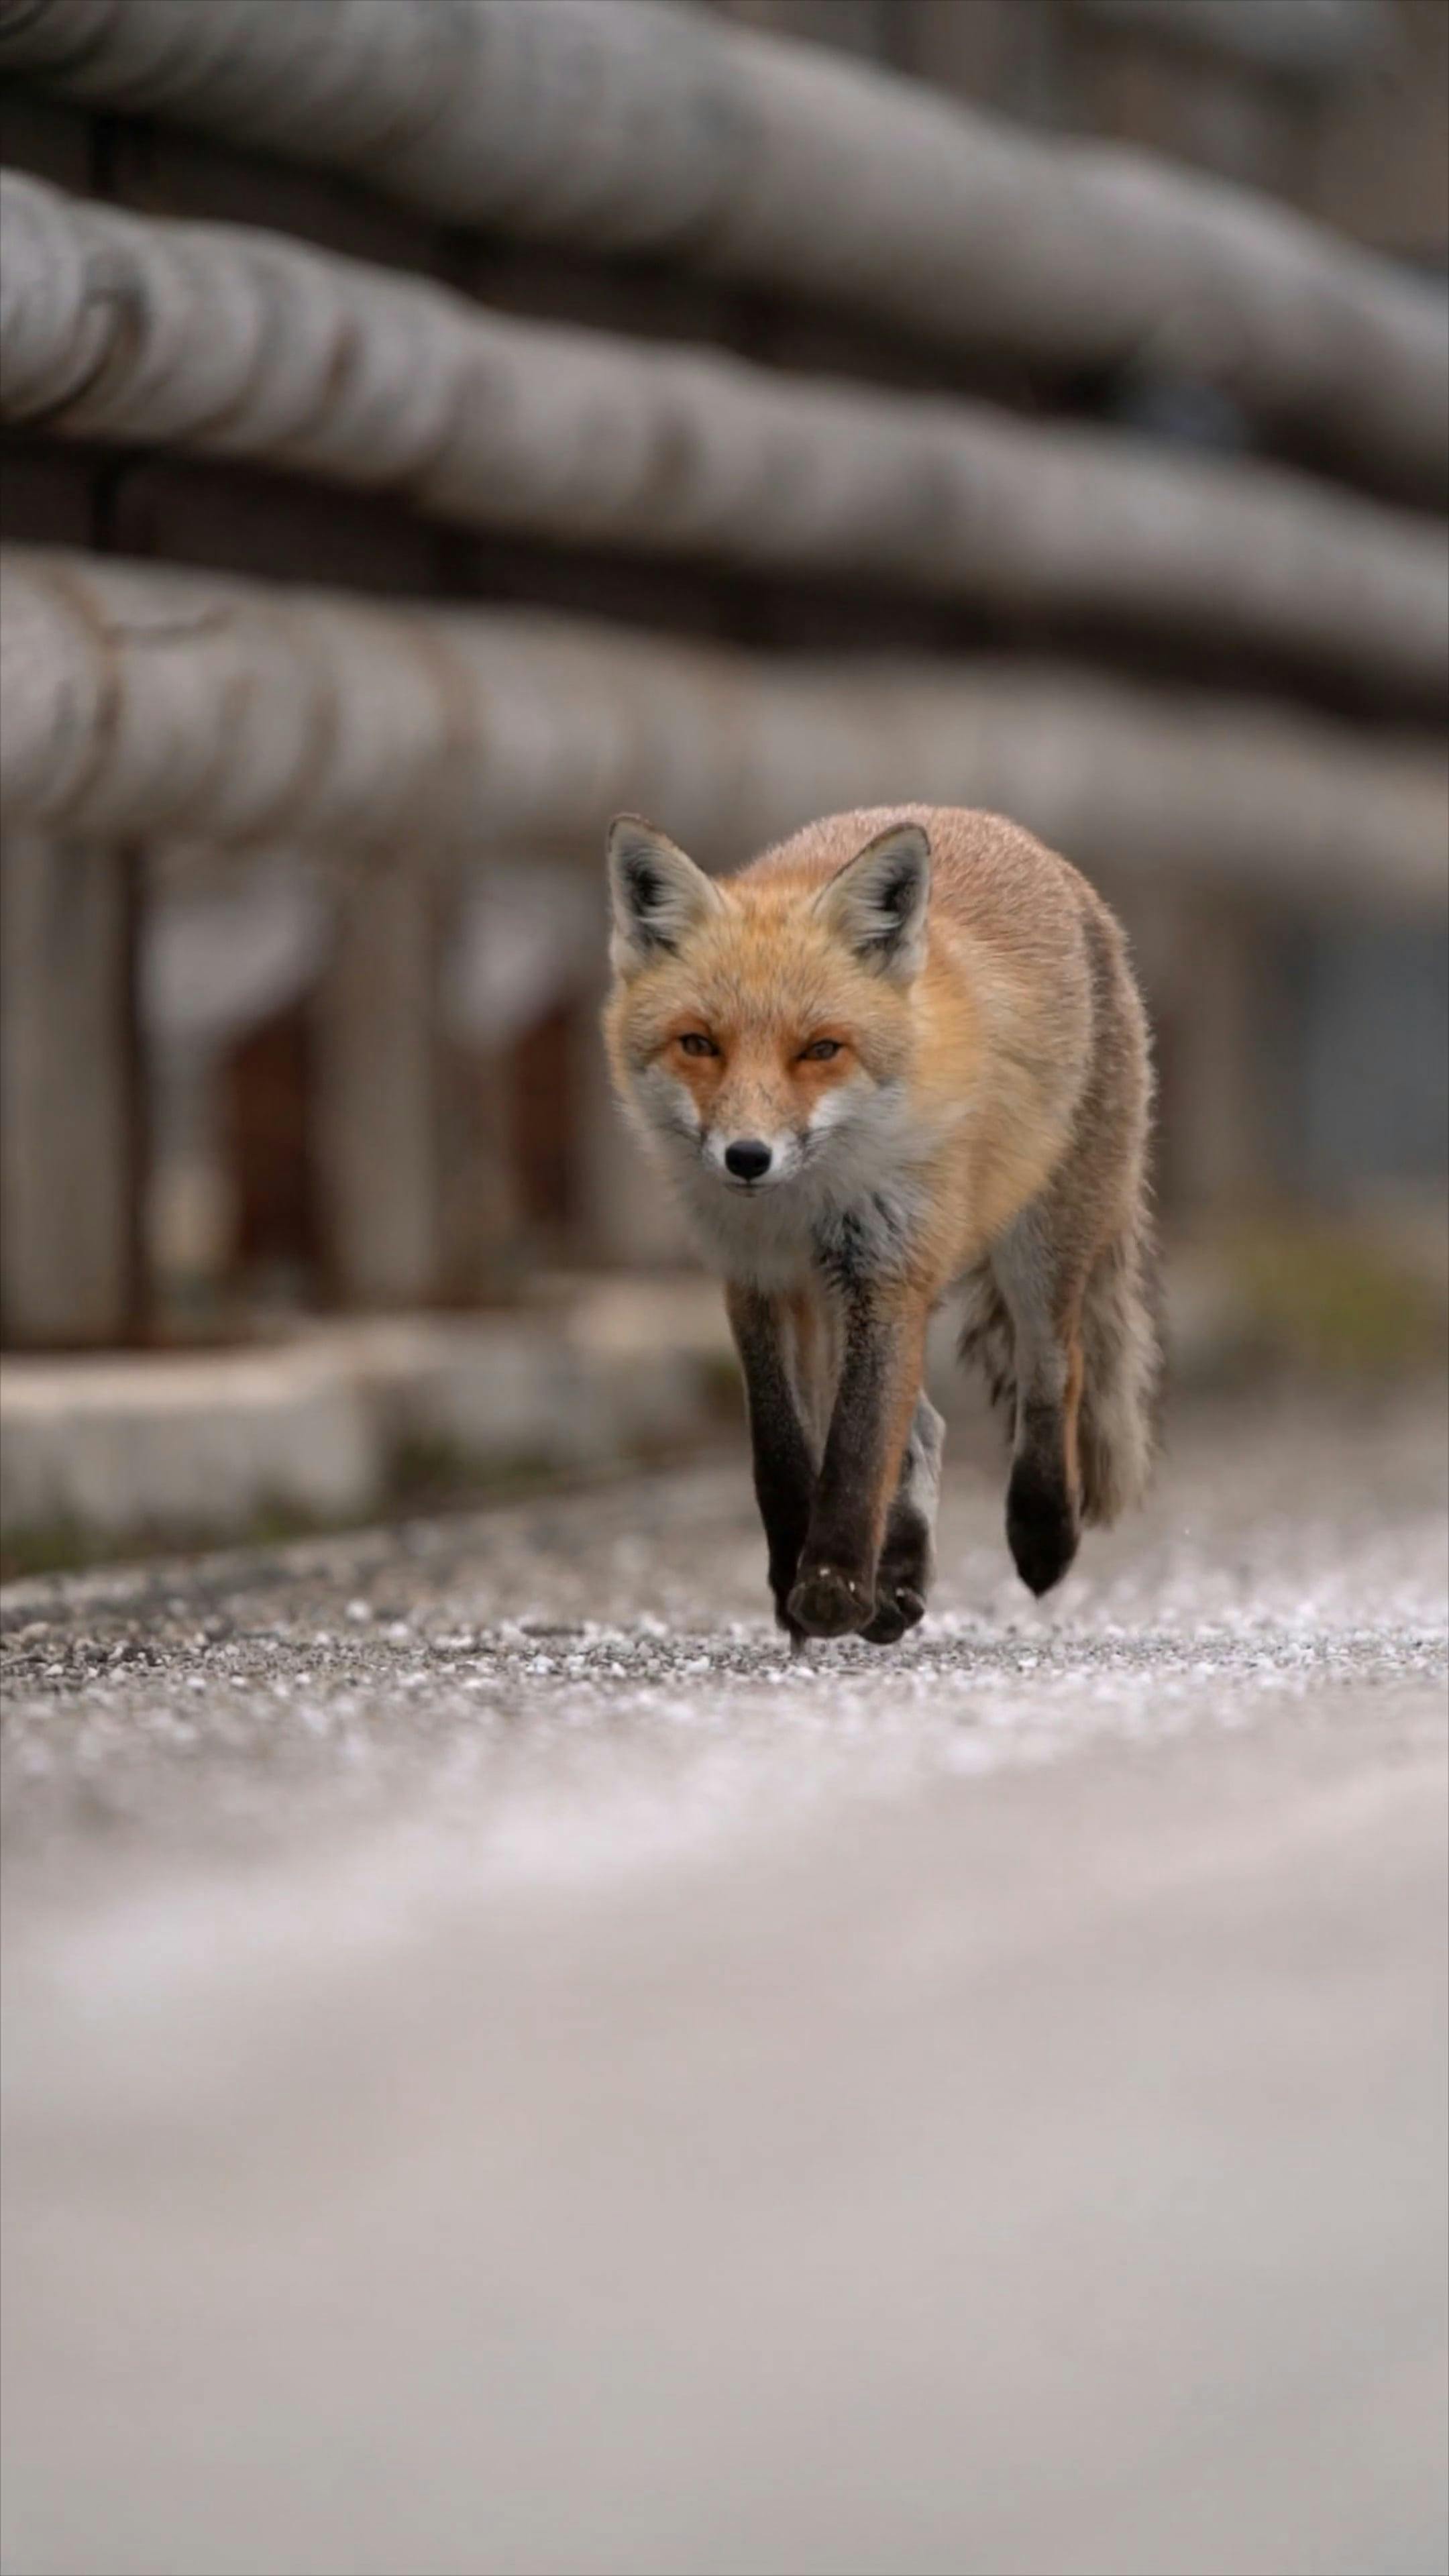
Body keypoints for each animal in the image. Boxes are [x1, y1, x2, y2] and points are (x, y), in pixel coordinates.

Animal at [603, 803, 1158, 1644]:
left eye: (820, 1050)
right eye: (699, 1044)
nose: (747, 1157)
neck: (803, 1206)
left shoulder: (889, 1269)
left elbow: (860, 1447)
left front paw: (832, 1583)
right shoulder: (755, 1278)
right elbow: (782, 1450)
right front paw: (798, 1582)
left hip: (1039, 1247)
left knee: (1054, 1373)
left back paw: (1042, 1534)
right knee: (928, 1426)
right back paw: (897, 1582)